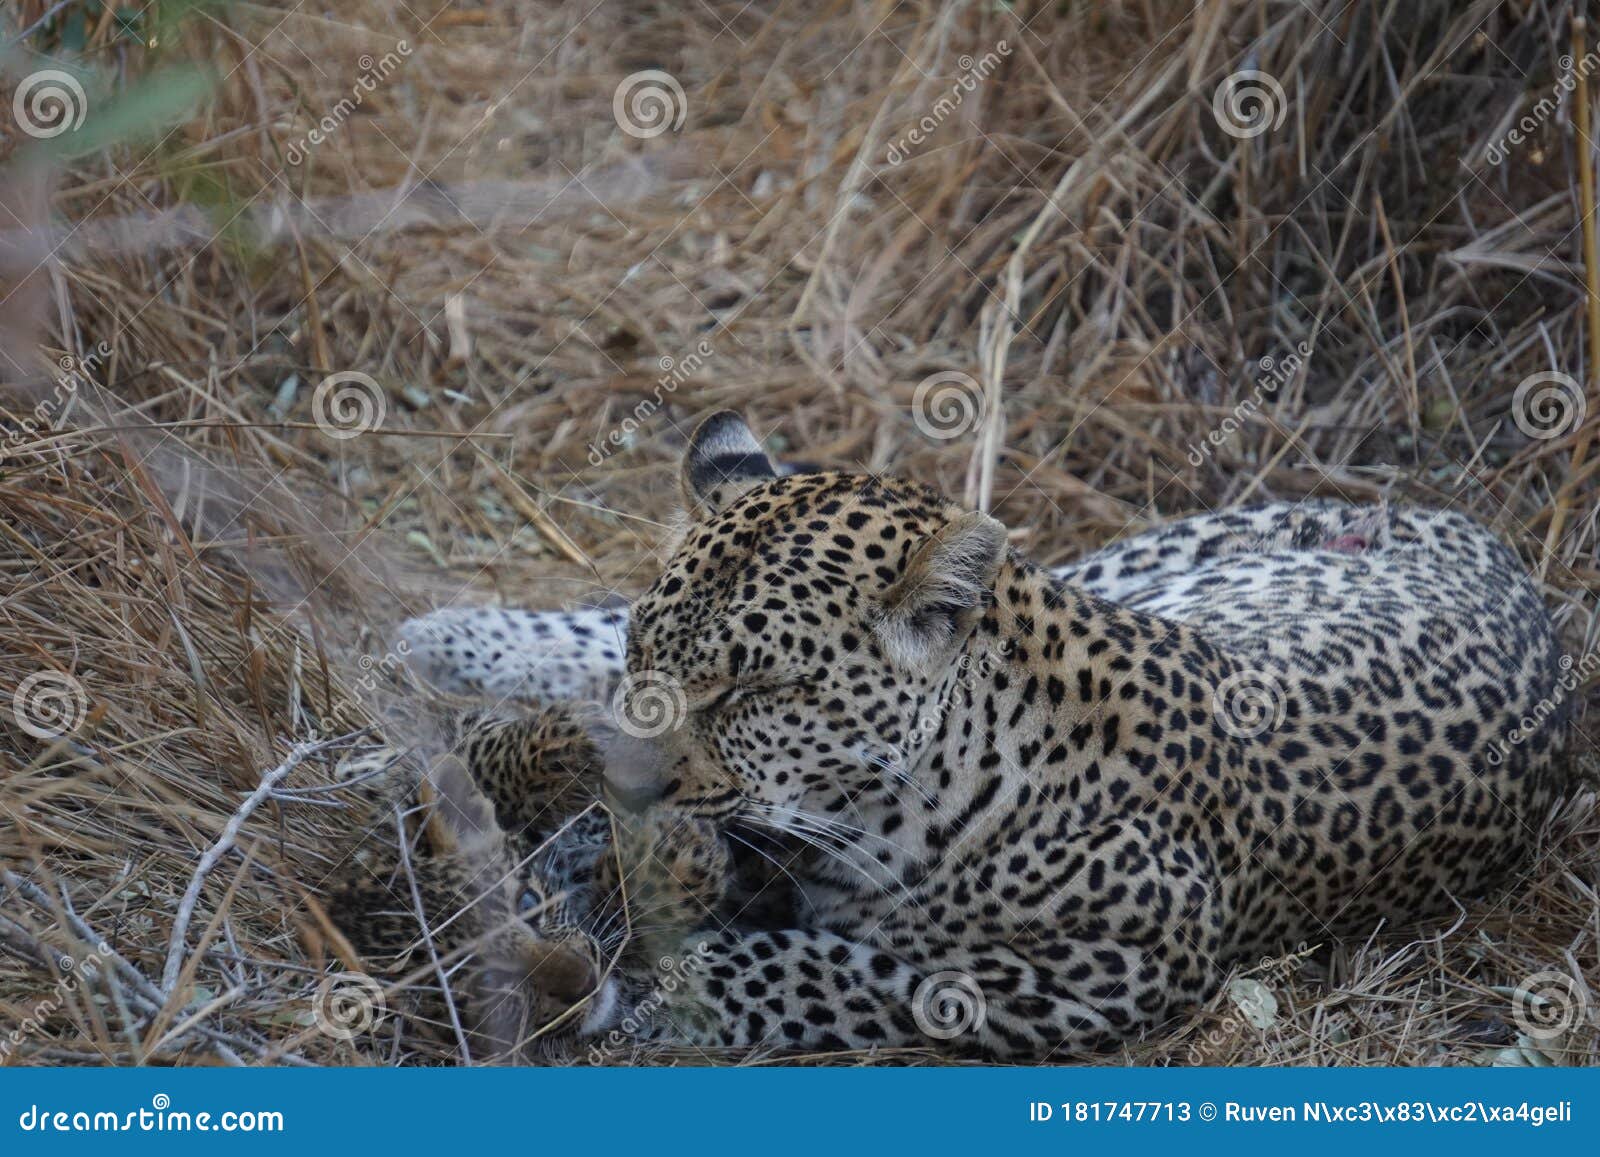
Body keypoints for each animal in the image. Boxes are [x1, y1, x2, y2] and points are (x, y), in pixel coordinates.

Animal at [400, 410, 1570, 1060]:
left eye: (753, 690)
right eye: (658, 652)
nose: (634, 785)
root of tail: (1504, 553)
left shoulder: (1119, 968)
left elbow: (835, 969)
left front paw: (651, 981)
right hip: (1132, 561)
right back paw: (440, 637)